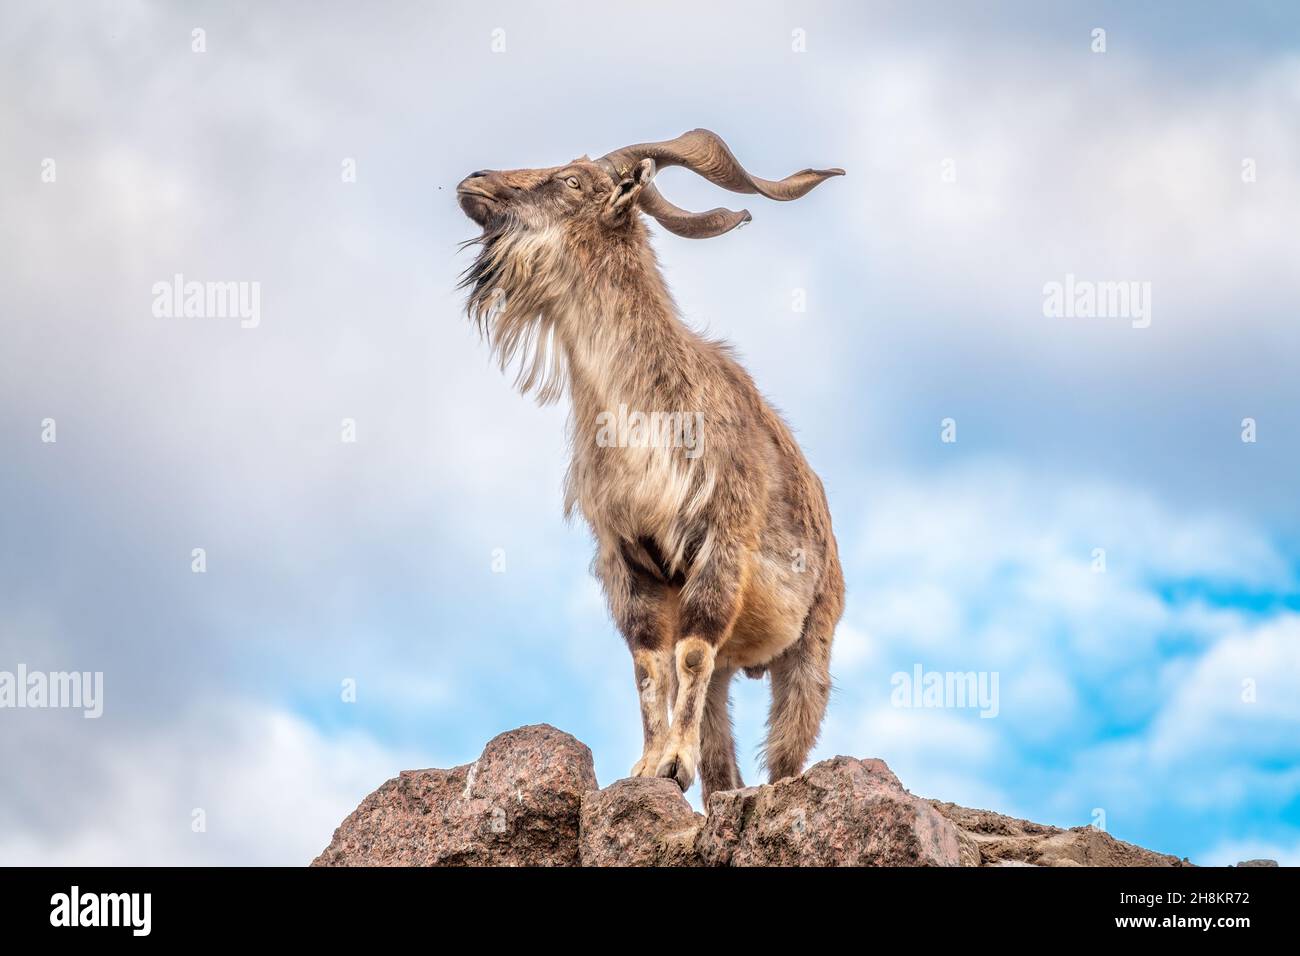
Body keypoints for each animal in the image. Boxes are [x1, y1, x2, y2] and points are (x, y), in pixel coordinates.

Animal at [457, 129, 845, 801]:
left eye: (573, 181)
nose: (474, 181)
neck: (642, 411)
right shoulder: (629, 557)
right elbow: (648, 664)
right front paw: (647, 766)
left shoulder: (719, 545)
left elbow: (687, 651)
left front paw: (672, 765)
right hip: (734, 670)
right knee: (722, 745)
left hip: (811, 643)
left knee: (786, 746)